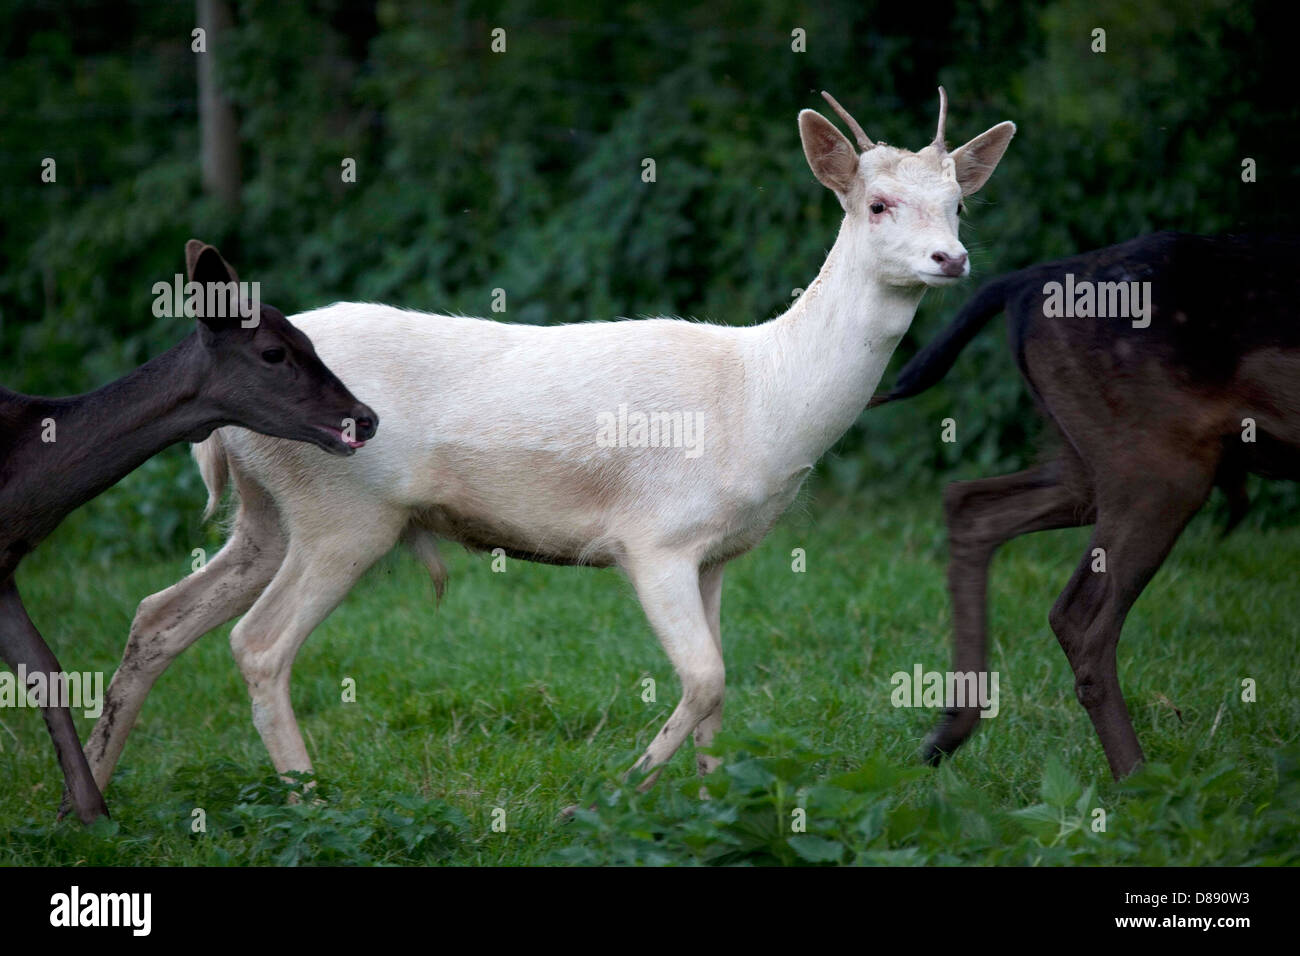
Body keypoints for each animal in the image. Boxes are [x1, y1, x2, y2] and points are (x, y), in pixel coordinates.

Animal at [2, 240, 378, 824]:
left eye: (311, 341)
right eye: (274, 352)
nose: (364, 418)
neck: (18, 481)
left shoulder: (3, 571)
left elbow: (47, 673)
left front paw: (87, 819)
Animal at [79, 91, 1015, 807]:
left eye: (958, 203)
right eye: (876, 204)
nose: (951, 258)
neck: (761, 398)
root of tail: (222, 425)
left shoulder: (718, 553)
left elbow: (720, 687)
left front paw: (719, 803)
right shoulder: (656, 537)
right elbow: (705, 679)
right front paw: (609, 794)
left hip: (267, 511)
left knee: (158, 614)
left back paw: (91, 790)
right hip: (341, 510)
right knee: (260, 645)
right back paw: (308, 799)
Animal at [870, 230, 1300, 779]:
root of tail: (1022, 282)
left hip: (1091, 458)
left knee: (968, 500)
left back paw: (946, 734)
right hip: (1160, 462)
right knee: (1077, 616)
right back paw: (1138, 780)